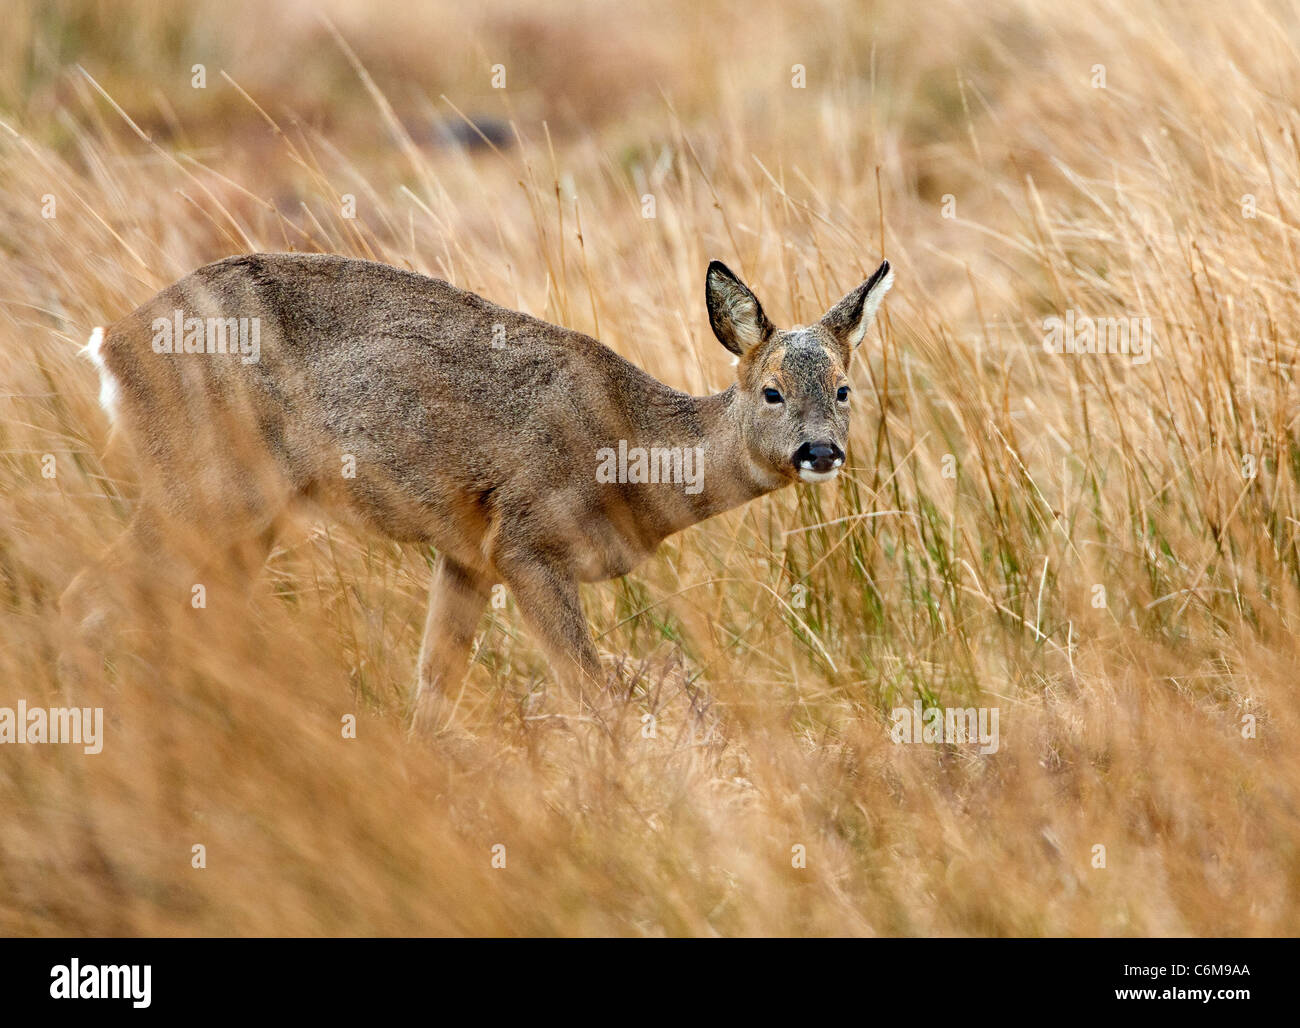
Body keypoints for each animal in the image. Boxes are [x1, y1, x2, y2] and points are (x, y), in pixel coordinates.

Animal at [60, 253, 893, 732]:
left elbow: (433, 694)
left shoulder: (467, 557)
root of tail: (111, 346)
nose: (821, 451)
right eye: (772, 391)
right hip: (200, 486)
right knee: (90, 596)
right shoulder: (527, 543)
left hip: (243, 515)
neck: (629, 447)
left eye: (845, 389)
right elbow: (597, 696)